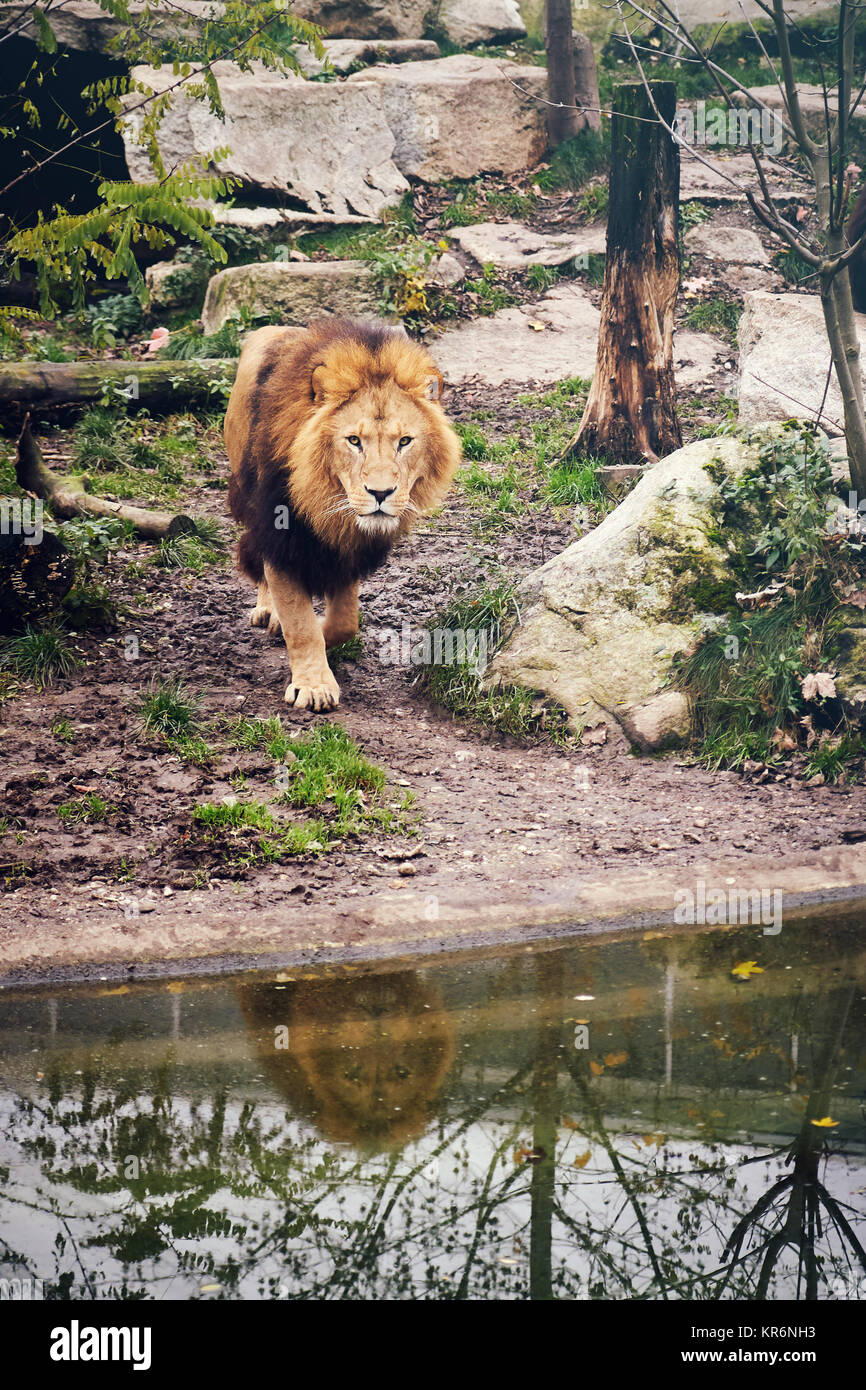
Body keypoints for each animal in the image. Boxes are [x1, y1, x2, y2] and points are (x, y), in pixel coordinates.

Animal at [225, 318, 461, 710]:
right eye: (354, 441)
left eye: (404, 441)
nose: (380, 493)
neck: (325, 501)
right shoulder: (280, 534)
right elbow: (299, 623)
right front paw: (313, 686)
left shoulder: (350, 547)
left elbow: (344, 621)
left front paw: (324, 635)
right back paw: (268, 611)